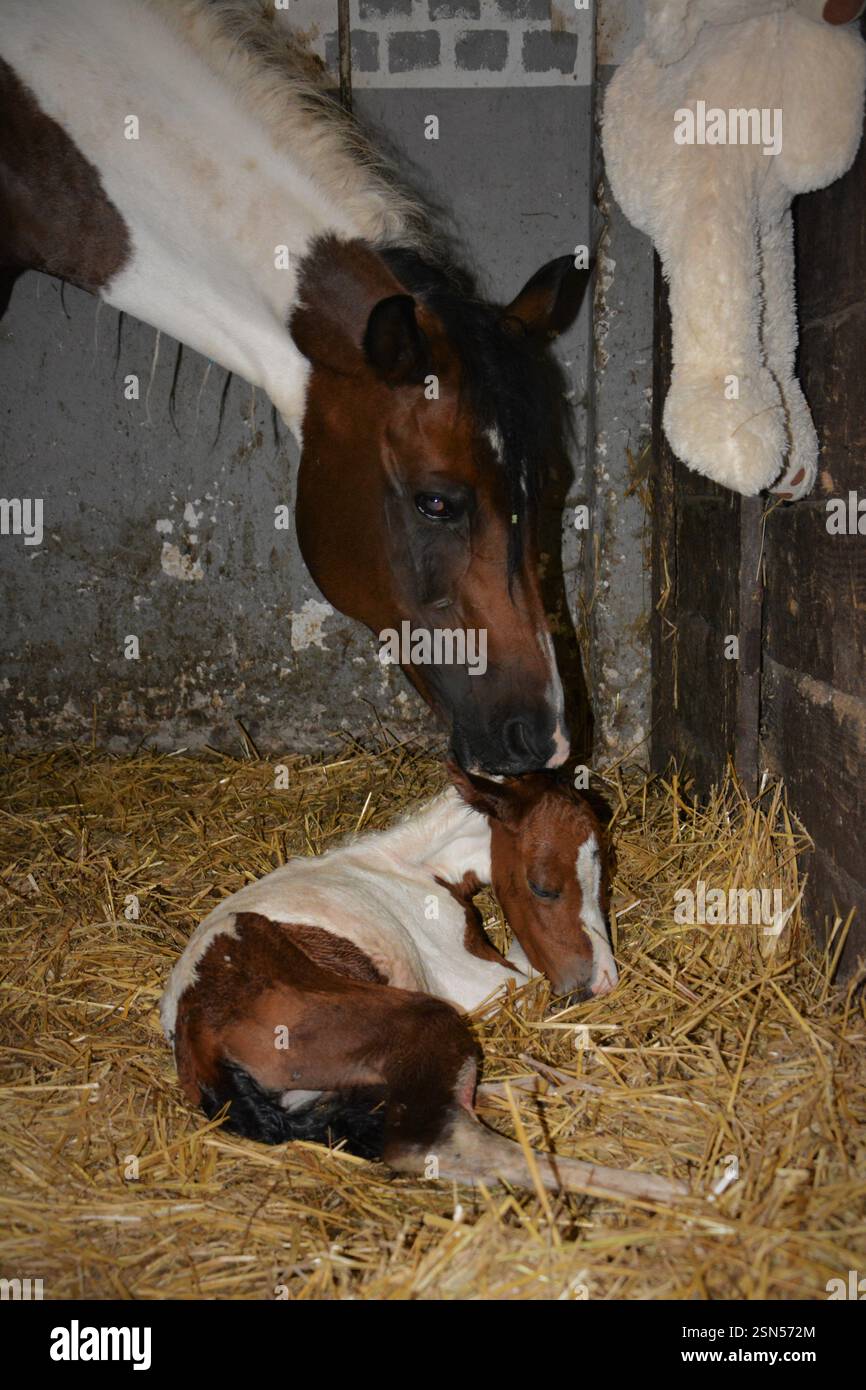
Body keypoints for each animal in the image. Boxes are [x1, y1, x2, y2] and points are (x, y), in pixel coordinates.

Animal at [160, 766, 686, 1202]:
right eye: (543, 886)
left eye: (606, 874)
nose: (601, 984)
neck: (405, 866)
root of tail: (202, 1046)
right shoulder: (482, 984)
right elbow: (529, 976)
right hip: (423, 1018)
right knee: (438, 1140)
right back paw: (665, 1187)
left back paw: (555, 1085)